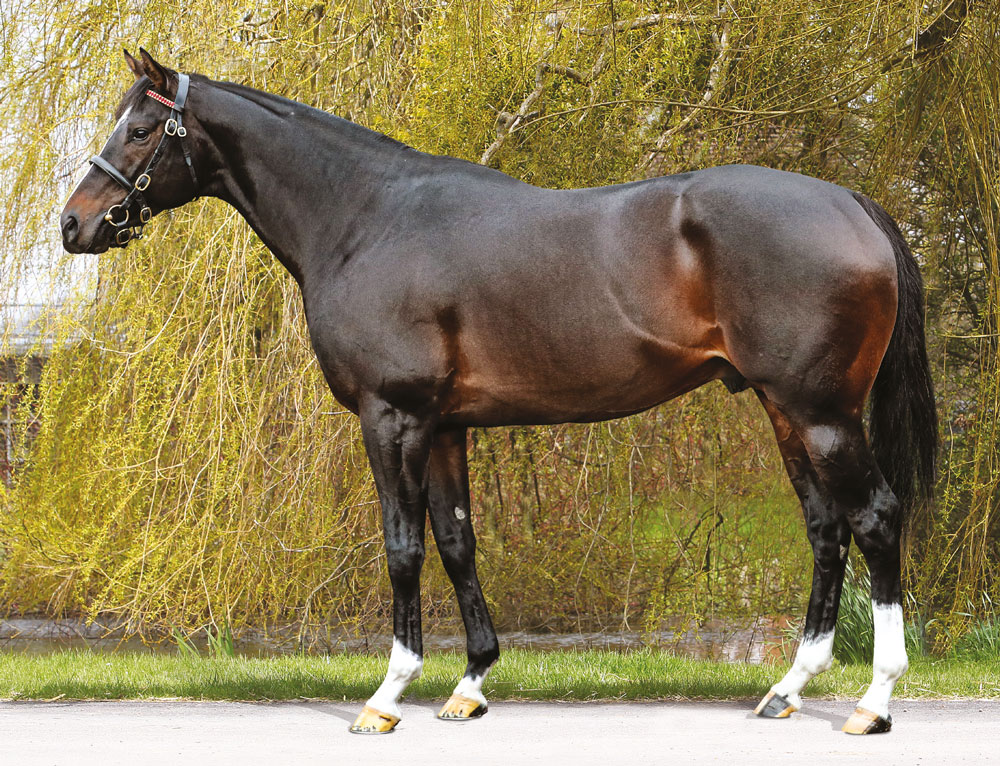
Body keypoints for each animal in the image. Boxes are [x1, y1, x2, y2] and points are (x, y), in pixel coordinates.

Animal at [61, 50, 937, 736]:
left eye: (140, 130)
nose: (74, 225)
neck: (365, 218)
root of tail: (849, 201)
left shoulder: (393, 418)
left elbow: (403, 547)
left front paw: (387, 696)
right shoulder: (447, 426)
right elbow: (457, 542)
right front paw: (470, 685)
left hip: (822, 414)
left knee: (875, 519)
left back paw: (874, 703)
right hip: (785, 410)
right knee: (826, 530)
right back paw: (788, 689)